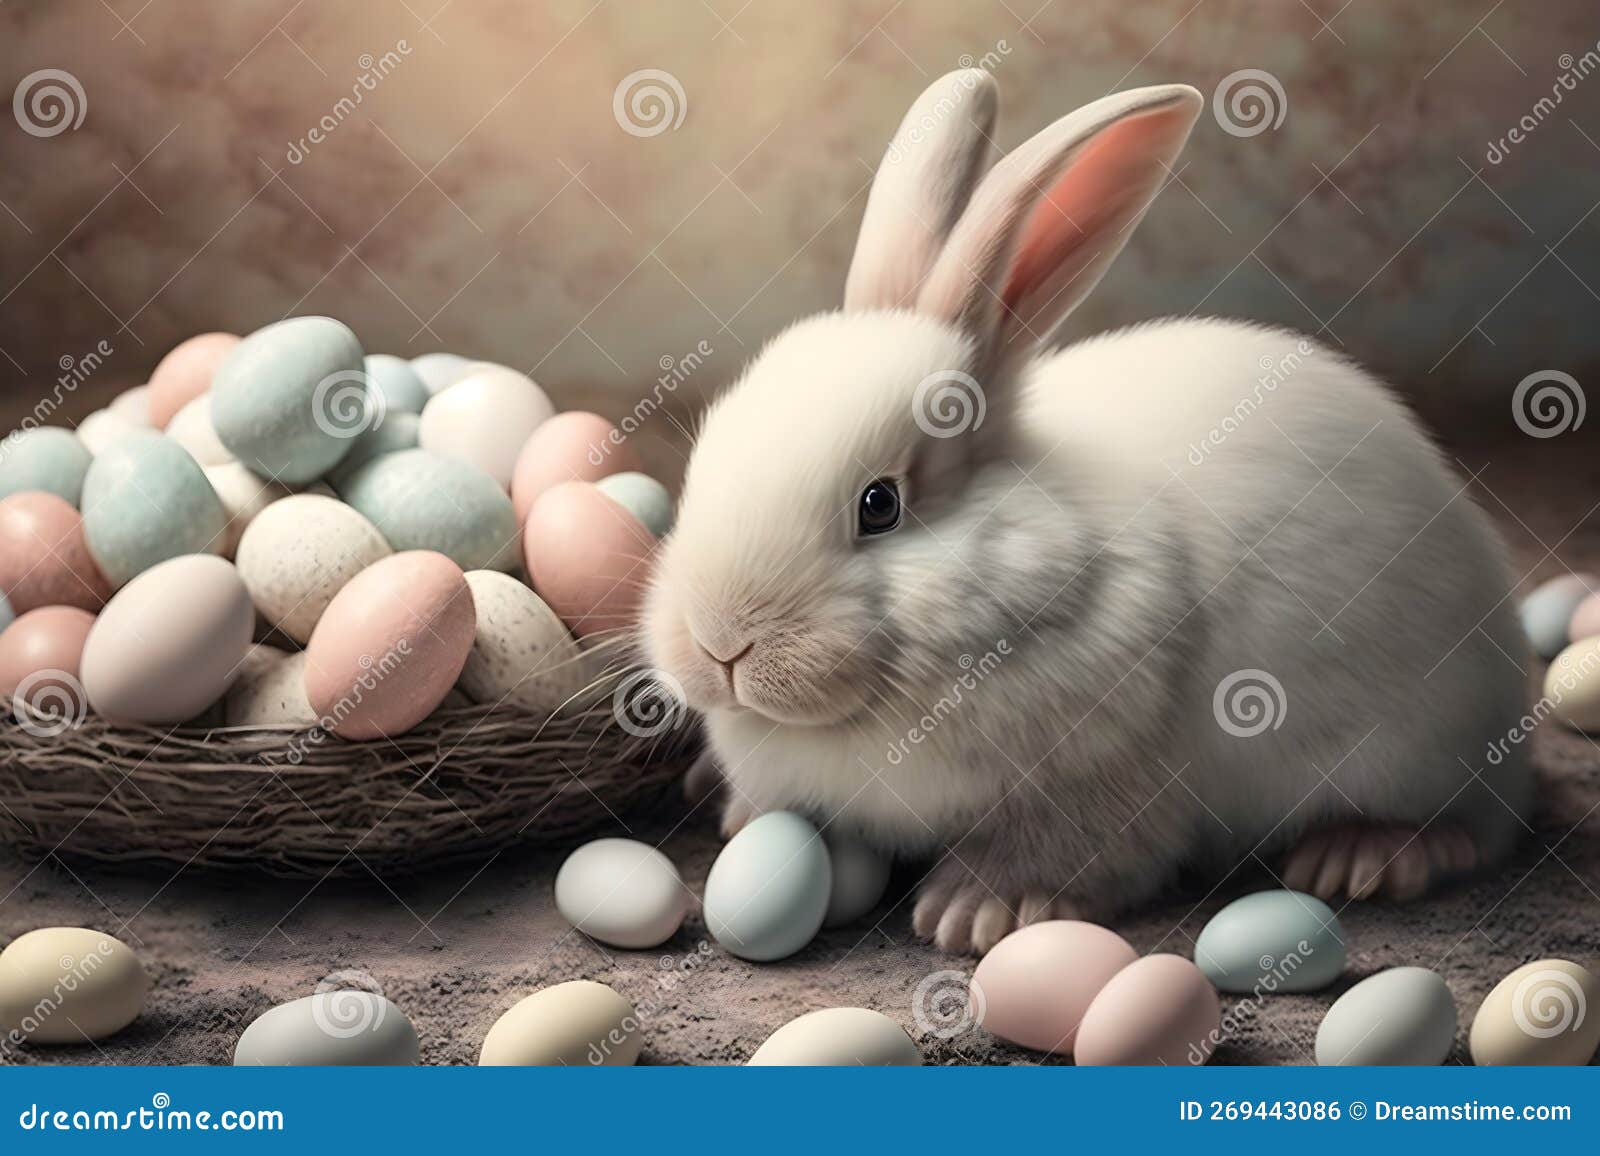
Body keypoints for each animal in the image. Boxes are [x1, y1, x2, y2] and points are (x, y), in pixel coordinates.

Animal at [643, 70, 1532, 955]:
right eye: (703, 463)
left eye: (880, 504)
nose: (717, 645)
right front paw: (740, 815)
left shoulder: (1107, 778)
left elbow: (1067, 852)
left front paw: (976, 913)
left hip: (1421, 743)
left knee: (1474, 828)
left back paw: (1363, 855)